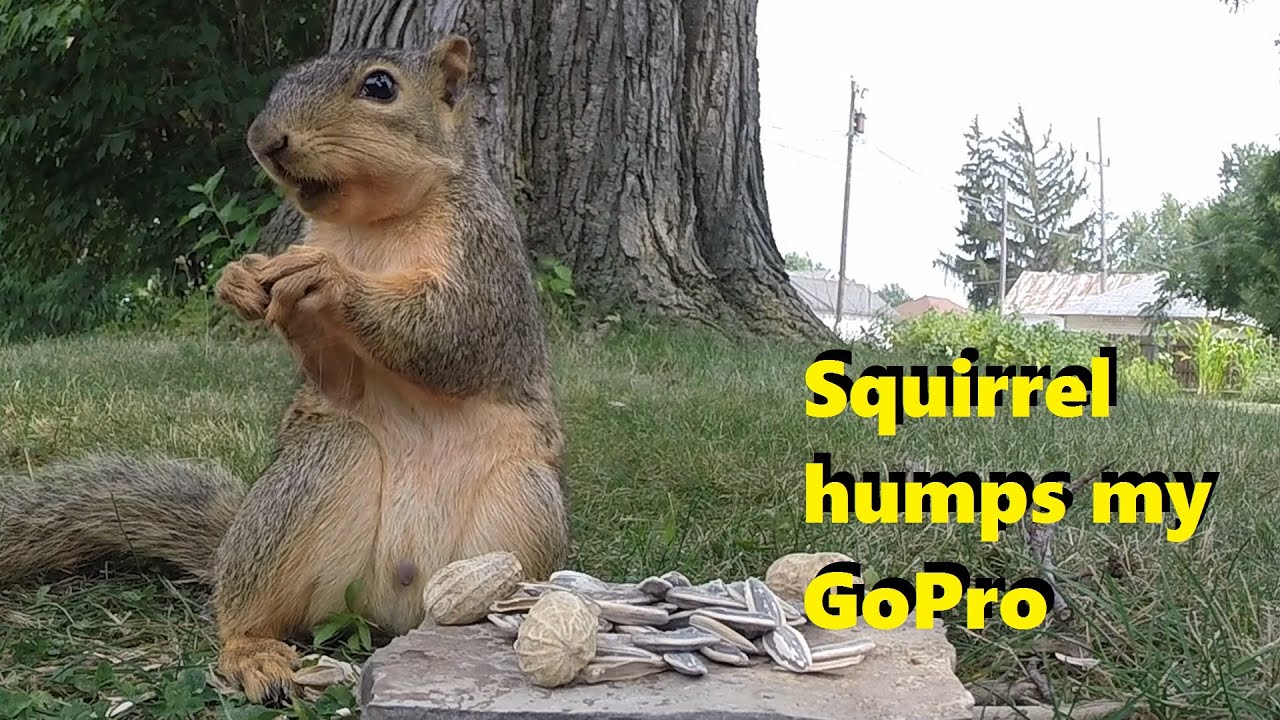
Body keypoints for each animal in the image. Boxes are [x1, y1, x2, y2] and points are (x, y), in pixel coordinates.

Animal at [0, 35, 572, 706]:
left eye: (380, 87)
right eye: (284, 81)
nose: (265, 139)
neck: (372, 225)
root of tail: (398, 607)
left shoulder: (487, 259)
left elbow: (458, 335)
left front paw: (329, 278)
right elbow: (338, 377)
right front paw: (239, 279)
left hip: (523, 507)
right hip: (316, 475)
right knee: (249, 613)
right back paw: (255, 654)